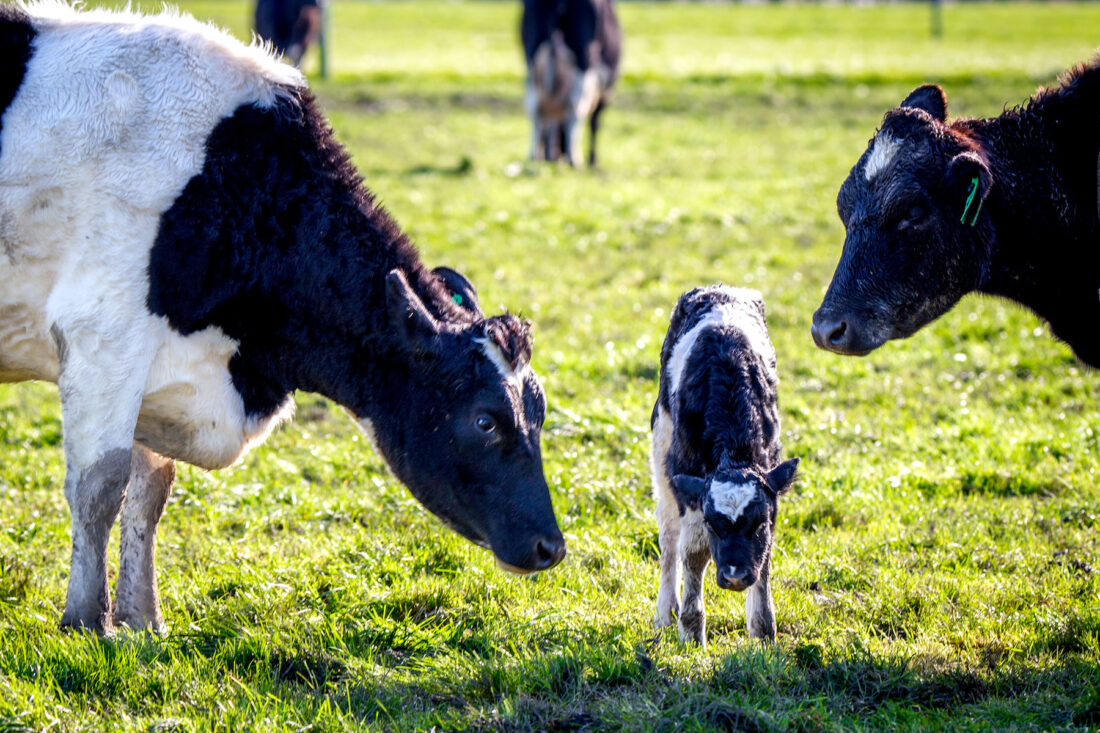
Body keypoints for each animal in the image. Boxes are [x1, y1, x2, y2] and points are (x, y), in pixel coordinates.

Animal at [0, 2, 565, 636]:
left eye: (539, 412)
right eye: (485, 420)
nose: (552, 546)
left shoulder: (162, 372)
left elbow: (149, 494)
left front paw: (145, 620)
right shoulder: (103, 336)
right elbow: (101, 488)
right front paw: (86, 622)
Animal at [521, 0, 621, 167]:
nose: (556, 156)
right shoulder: (605, 89)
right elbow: (594, 122)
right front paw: (592, 161)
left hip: (532, 64)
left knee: (535, 107)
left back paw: (535, 156)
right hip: (585, 59)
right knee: (576, 106)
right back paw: (575, 159)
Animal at [651, 286, 799, 646]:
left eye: (759, 523)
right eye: (713, 524)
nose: (734, 577)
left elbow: (765, 556)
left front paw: (763, 635)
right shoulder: (689, 482)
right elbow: (693, 552)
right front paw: (691, 632)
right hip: (661, 447)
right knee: (668, 535)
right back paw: (665, 612)